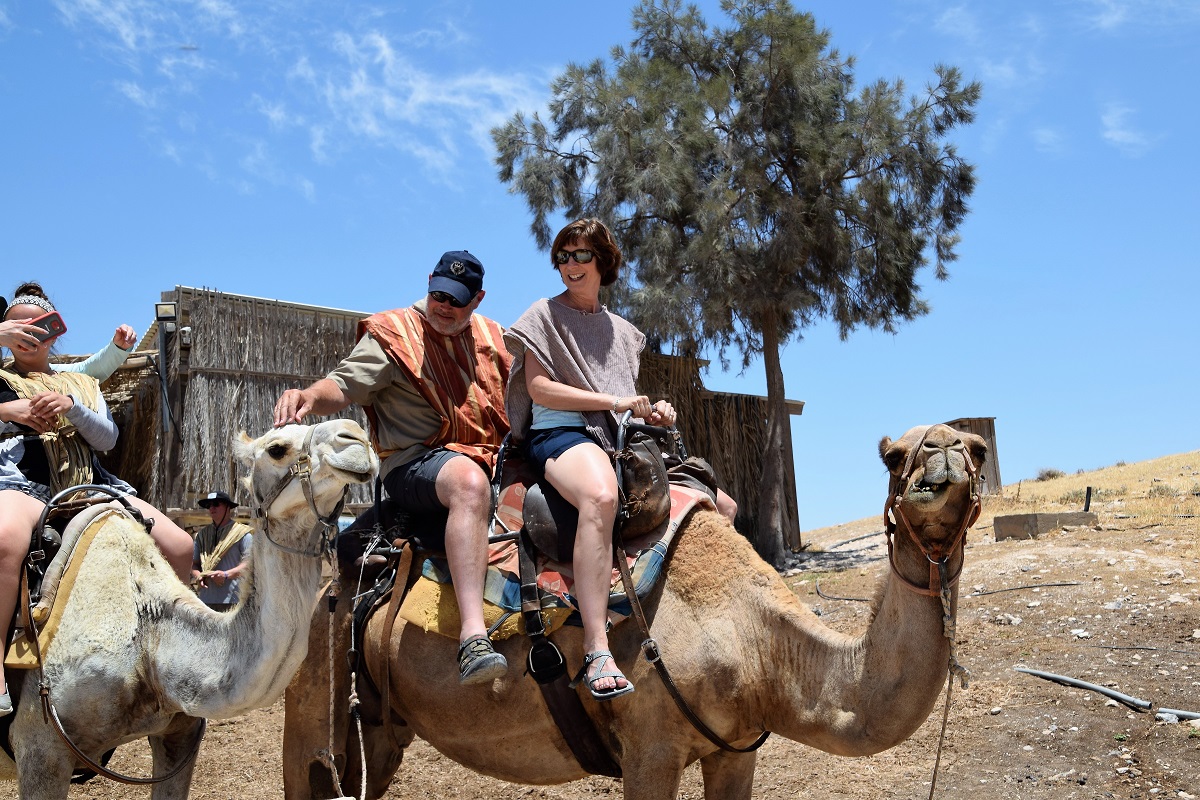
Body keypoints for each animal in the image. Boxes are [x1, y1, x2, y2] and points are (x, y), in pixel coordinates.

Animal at [282, 422, 986, 799]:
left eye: (976, 446)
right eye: (894, 456)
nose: (945, 449)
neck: (758, 644)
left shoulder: (736, 749)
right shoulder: (651, 748)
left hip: (382, 722)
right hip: (315, 683)